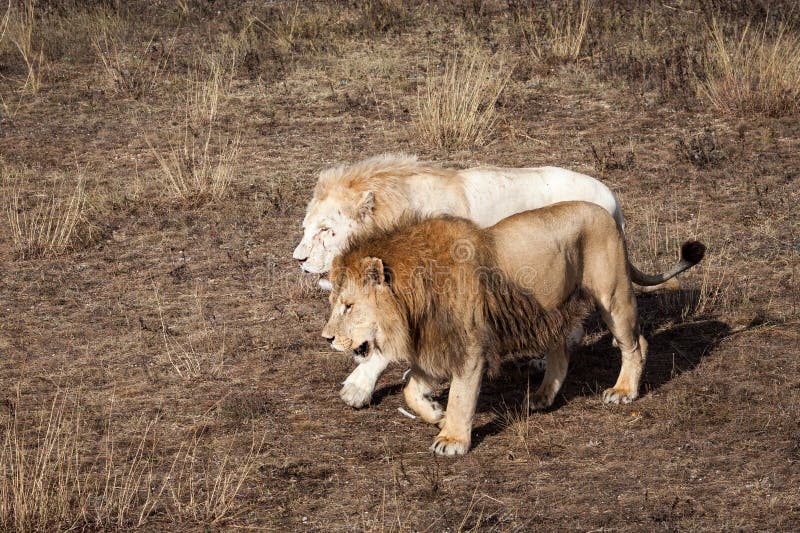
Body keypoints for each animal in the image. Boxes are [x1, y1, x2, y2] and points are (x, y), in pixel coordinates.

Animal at [321, 201, 705, 455]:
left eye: (348, 306)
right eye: (334, 303)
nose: (327, 338)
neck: (413, 304)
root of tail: (607, 214)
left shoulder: (469, 349)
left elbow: (461, 397)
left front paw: (452, 440)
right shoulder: (437, 345)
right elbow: (410, 391)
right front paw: (435, 414)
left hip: (612, 296)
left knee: (636, 342)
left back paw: (624, 390)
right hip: (554, 308)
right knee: (561, 352)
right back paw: (541, 396)